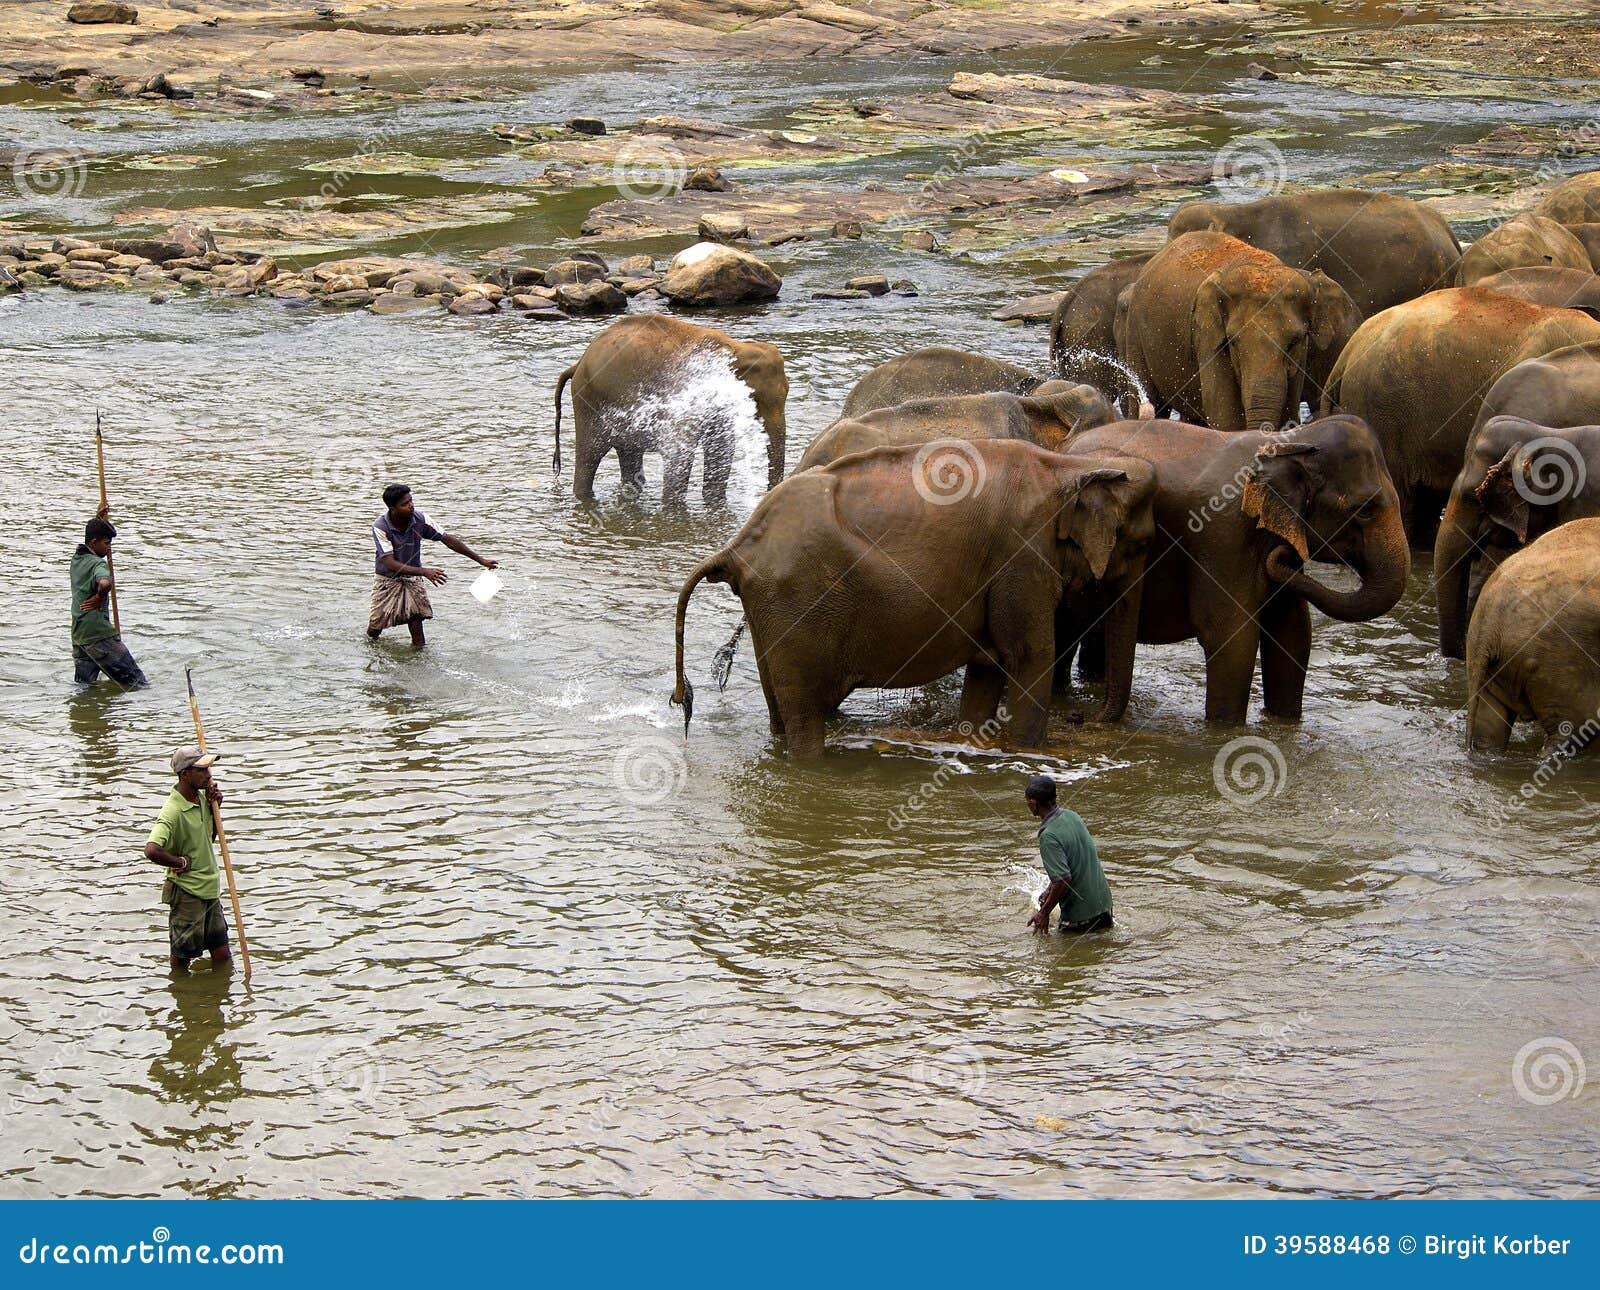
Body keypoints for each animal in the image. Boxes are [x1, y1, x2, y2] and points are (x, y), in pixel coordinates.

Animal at [553, 314, 787, 506]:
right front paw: (673, 506)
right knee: (590, 455)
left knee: (629, 456)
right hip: (589, 401)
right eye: (756, 399)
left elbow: (721, 446)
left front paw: (714, 501)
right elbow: (681, 451)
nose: (766, 494)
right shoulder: (689, 386)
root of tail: (578, 363)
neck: (737, 346)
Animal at [671, 441, 1157, 757]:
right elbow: (1029, 656)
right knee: (805, 715)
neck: (1067, 464)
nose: (1085, 719)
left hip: (768, 609)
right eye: (1138, 545)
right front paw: (1029, 753)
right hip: (796, 603)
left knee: (778, 709)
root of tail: (738, 546)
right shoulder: (1022, 556)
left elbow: (988, 668)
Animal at [1066, 414, 1409, 723]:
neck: (1289, 441)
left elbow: (1293, 631)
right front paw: (1225, 731)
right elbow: (1232, 638)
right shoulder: (1224, 534)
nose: (1283, 555)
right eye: (1365, 510)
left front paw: (1285, 724)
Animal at [1115, 231, 1361, 432]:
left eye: (1294, 342)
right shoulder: (1207, 337)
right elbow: (1225, 414)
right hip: (1135, 333)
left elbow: (1288, 410)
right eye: (1232, 341)